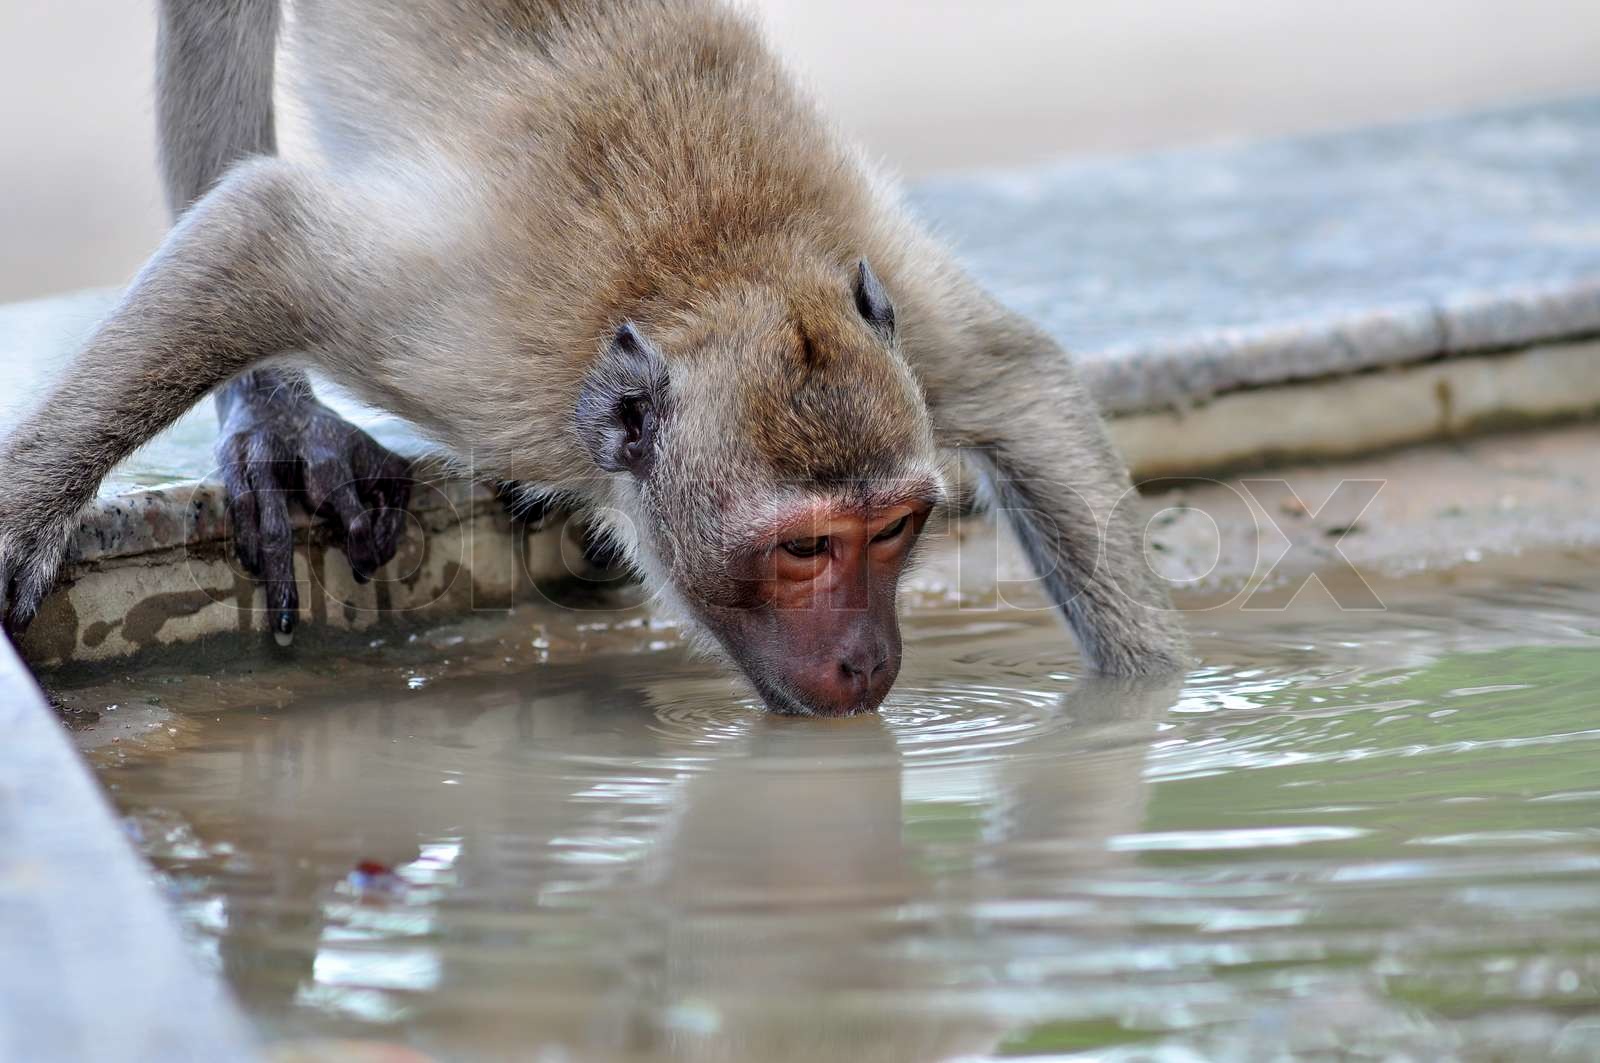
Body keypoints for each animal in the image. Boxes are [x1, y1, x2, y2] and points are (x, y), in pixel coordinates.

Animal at [0, 0, 1188, 716]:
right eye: (806, 548)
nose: (869, 659)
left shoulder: (900, 330)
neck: (712, 271)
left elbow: (1021, 381)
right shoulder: (483, 356)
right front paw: (20, 526)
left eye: (892, 529)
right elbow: (261, 234)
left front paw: (1149, 703)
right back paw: (277, 426)